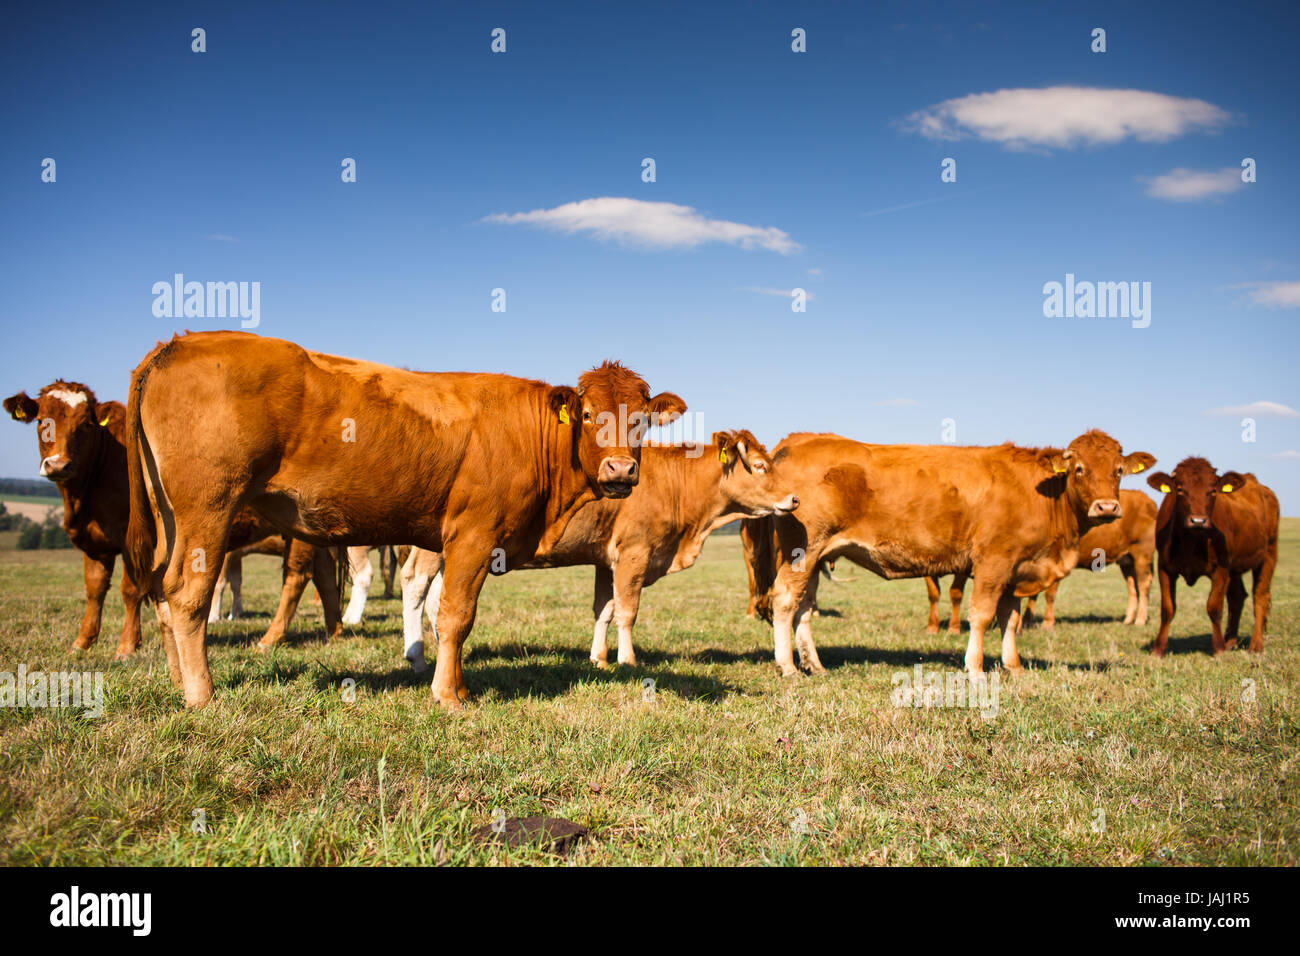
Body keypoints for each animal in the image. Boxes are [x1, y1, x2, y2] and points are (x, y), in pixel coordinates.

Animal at [124, 331, 685, 710]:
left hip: (170, 518)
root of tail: (176, 343)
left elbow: (448, 616)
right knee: (186, 592)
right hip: (208, 508)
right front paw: (447, 695)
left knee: (160, 589)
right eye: (588, 415)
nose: (621, 470)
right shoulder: (473, 535)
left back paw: (176, 679)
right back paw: (200, 693)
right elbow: (455, 615)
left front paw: (458, 685)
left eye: (640, 419)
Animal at [399, 431, 800, 671]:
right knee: (416, 586)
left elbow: (604, 610)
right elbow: (627, 612)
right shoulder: (634, 554)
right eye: (760, 466)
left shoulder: (607, 561)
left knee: (436, 595)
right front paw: (628, 660)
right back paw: (417, 657)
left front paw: (599, 658)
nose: (795, 498)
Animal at [926, 489, 1158, 631]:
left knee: (1144, 584)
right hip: (1127, 560)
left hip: (1142, 554)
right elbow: (935, 593)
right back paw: (1128, 619)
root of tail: (1146, 498)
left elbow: (1047, 594)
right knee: (1132, 586)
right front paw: (933, 627)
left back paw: (1139, 620)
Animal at [1144, 457, 1279, 656]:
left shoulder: (1221, 568)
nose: (1198, 521)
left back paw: (1255, 644)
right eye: (1180, 489)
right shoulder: (1165, 567)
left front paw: (1218, 649)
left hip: (1268, 555)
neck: (1191, 541)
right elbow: (1167, 608)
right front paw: (1158, 649)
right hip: (1235, 568)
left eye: (1213, 490)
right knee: (1237, 597)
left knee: (1260, 596)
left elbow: (1214, 607)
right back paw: (1230, 641)